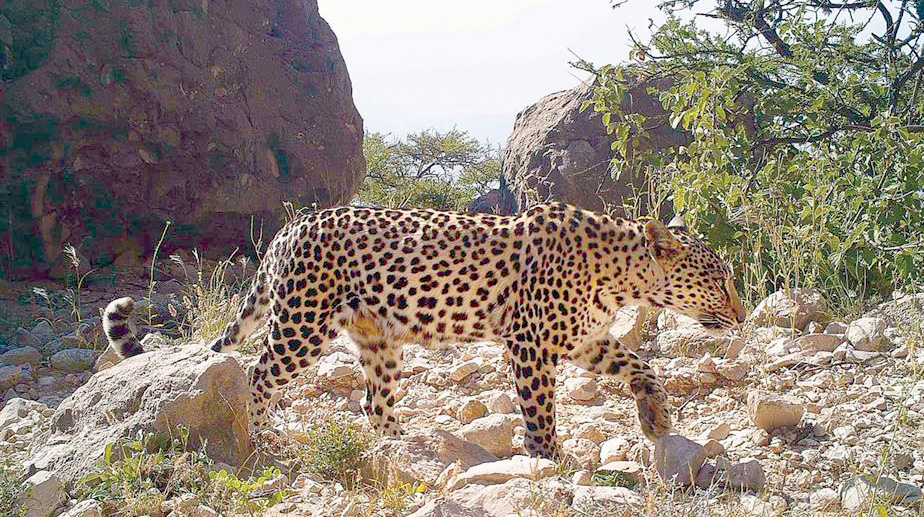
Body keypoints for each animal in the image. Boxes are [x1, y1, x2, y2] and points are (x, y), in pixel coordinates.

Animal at [104, 202, 745, 458]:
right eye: (719, 279)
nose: (740, 317)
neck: (621, 276)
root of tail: (289, 229)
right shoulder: (532, 344)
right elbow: (540, 410)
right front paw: (548, 459)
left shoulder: (584, 338)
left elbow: (641, 365)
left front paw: (655, 419)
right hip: (302, 324)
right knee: (260, 375)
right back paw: (262, 438)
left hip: (378, 340)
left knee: (372, 401)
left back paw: (402, 444)